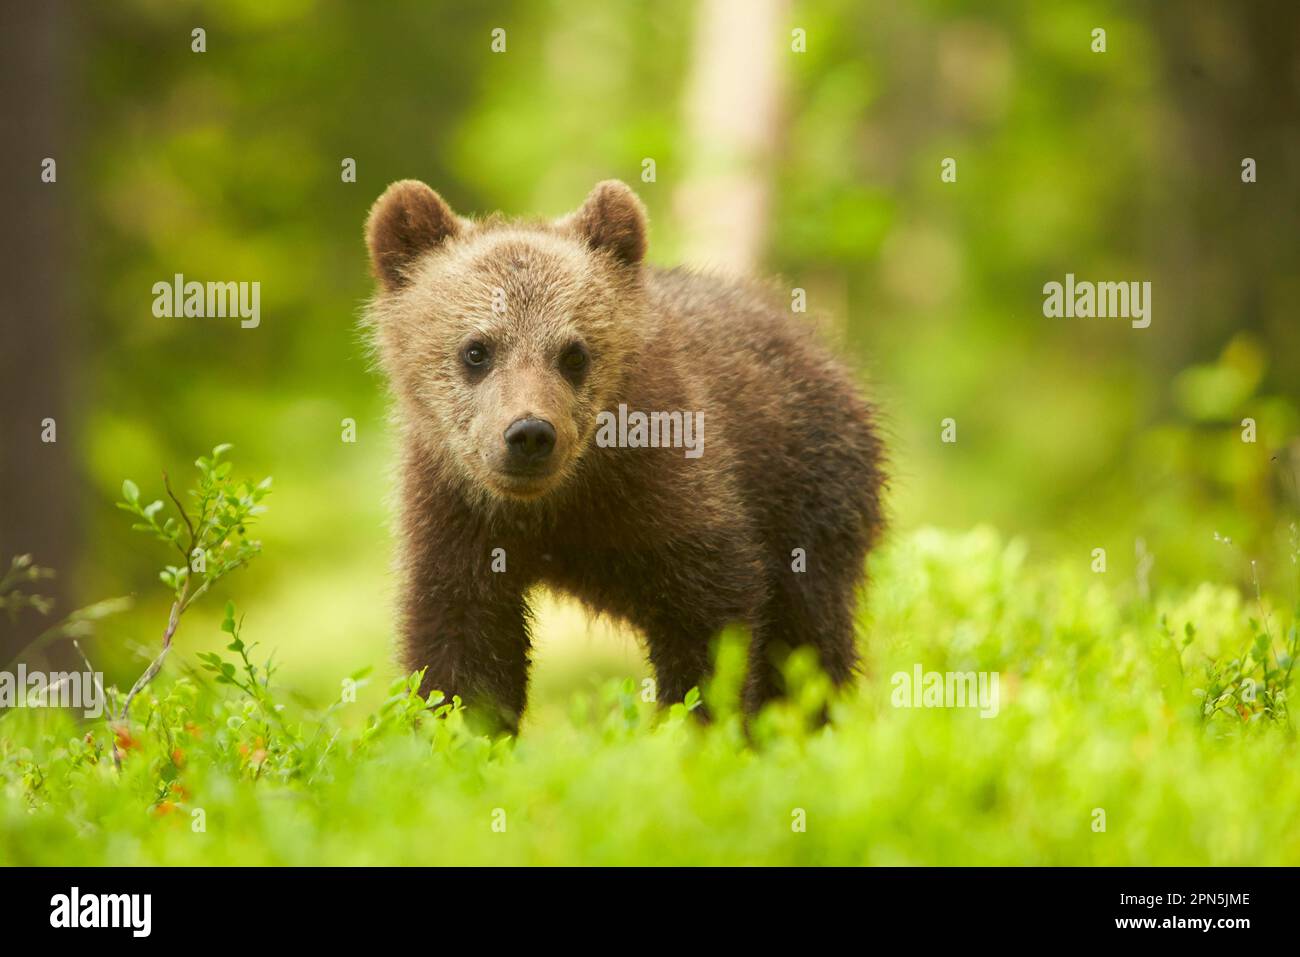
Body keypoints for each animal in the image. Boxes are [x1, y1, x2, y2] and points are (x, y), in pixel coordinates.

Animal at [363, 179, 885, 733]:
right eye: (476, 349)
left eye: (574, 353)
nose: (529, 434)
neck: (560, 504)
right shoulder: (454, 514)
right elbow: (462, 645)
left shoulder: (672, 492)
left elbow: (711, 624)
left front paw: (697, 727)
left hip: (810, 494)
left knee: (810, 633)